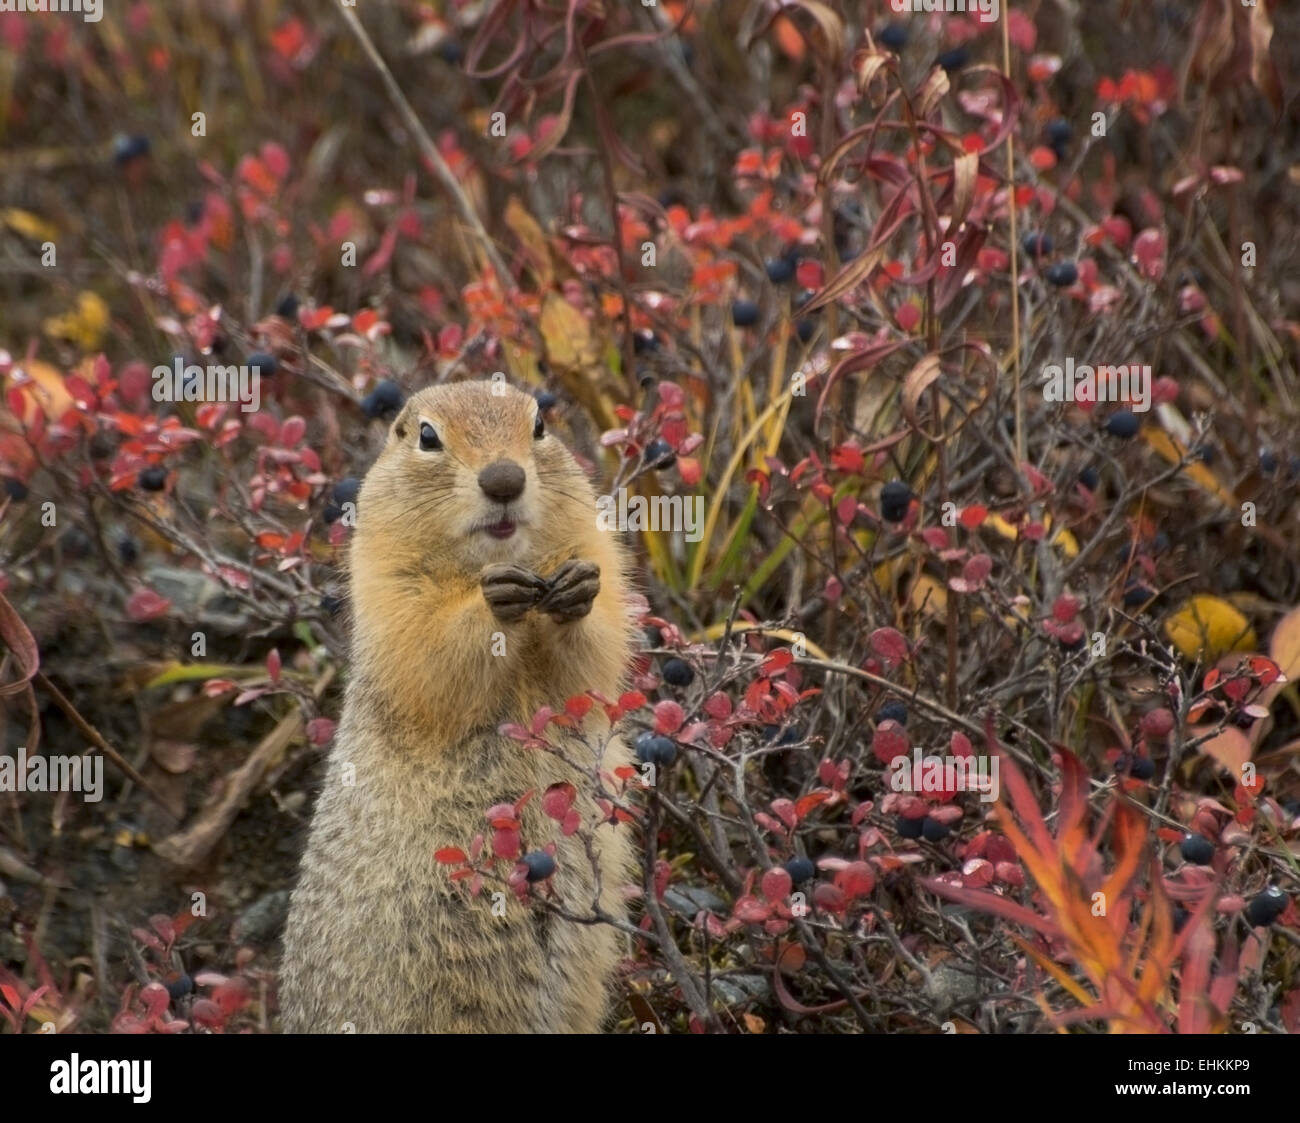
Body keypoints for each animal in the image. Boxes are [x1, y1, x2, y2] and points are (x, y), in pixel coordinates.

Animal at [280, 381, 636, 1033]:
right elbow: (431, 652)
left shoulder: (596, 551)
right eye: (427, 436)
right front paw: (493, 601)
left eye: (540, 424)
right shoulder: (388, 585)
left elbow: (597, 657)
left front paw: (576, 591)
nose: (504, 478)